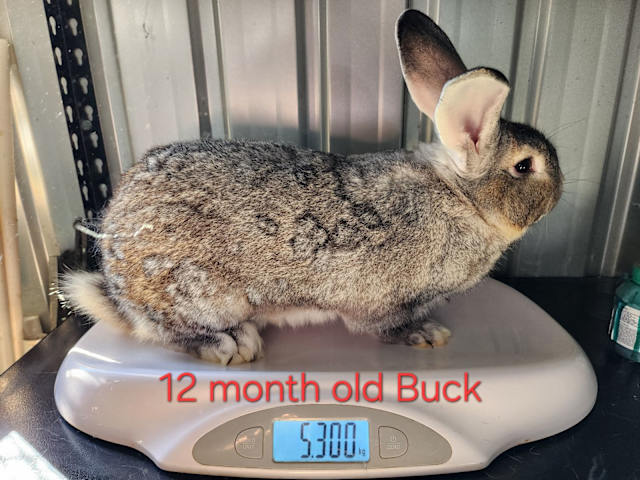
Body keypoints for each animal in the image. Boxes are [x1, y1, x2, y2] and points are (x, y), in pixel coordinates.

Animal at [61, 9, 562, 365]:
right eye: (524, 166)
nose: (559, 193)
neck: (462, 198)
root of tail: (115, 286)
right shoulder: (381, 301)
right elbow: (383, 327)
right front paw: (428, 334)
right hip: (199, 294)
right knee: (168, 332)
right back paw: (232, 345)